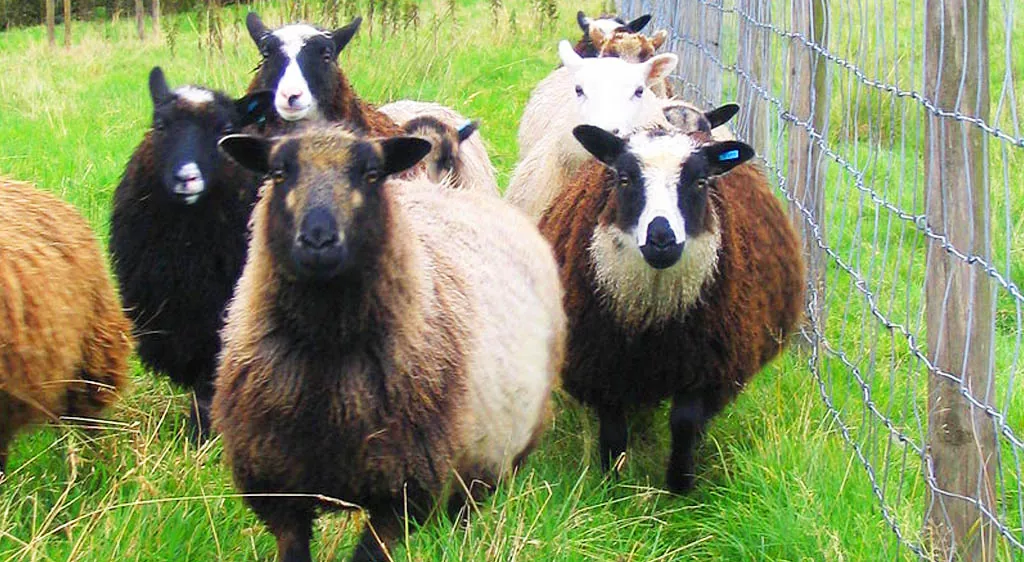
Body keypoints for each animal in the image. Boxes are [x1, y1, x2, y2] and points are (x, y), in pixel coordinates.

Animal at [213, 126, 565, 562]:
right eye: (278, 173)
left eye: (372, 174)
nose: (318, 240)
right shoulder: (278, 489)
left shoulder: (402, 496)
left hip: (492, 461)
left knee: (464, 514)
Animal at [537, 124, 804, 493]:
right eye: (624, 179)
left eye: (701, 182)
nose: (661, 239)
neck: (655, 318)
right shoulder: (602, 363)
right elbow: (613, 425)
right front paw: (613, 482)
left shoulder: (708, 365)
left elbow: (685, 422)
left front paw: (679, 484)